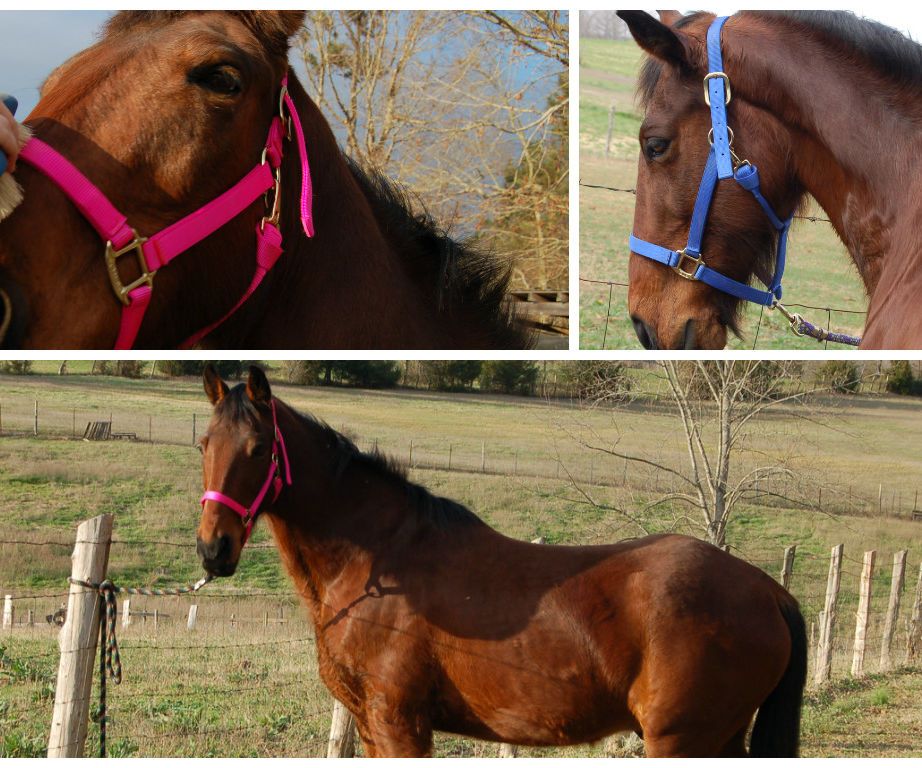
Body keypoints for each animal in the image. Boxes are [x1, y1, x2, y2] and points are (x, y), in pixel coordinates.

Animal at [195, 365, 807, 757]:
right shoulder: (371, 726)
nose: (212, 548)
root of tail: (768, 591)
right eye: (204, 444)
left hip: (682, 740)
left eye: (258, 448)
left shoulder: (398, 723)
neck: (380, 567)